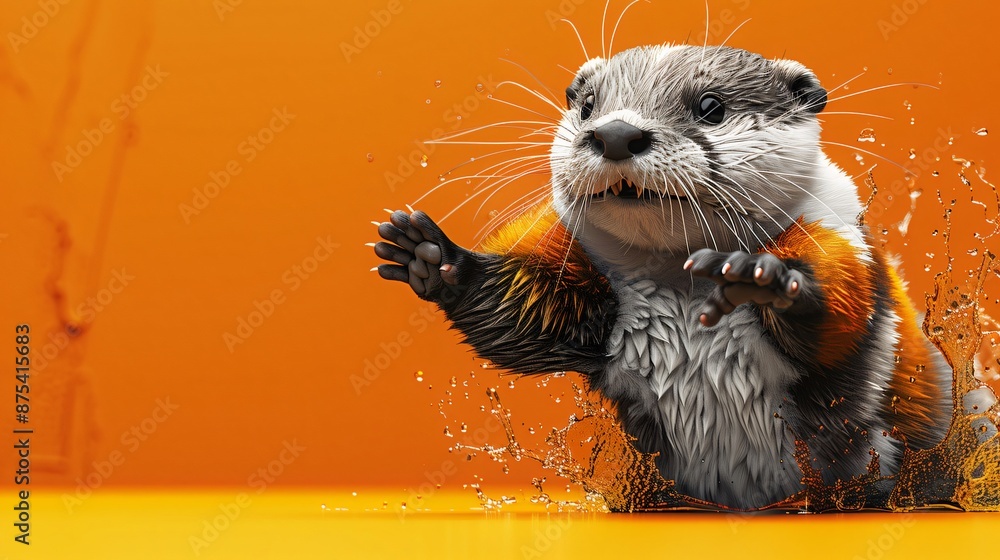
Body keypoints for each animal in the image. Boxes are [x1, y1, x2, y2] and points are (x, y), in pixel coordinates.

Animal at [373, 44, 951, 509]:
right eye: (588, 105)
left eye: (711, 106)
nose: (616, 133)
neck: (687, 300)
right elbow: (522, 319)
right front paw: (433, 257)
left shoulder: (836, 235)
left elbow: (840, 313)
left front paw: (762, 276)